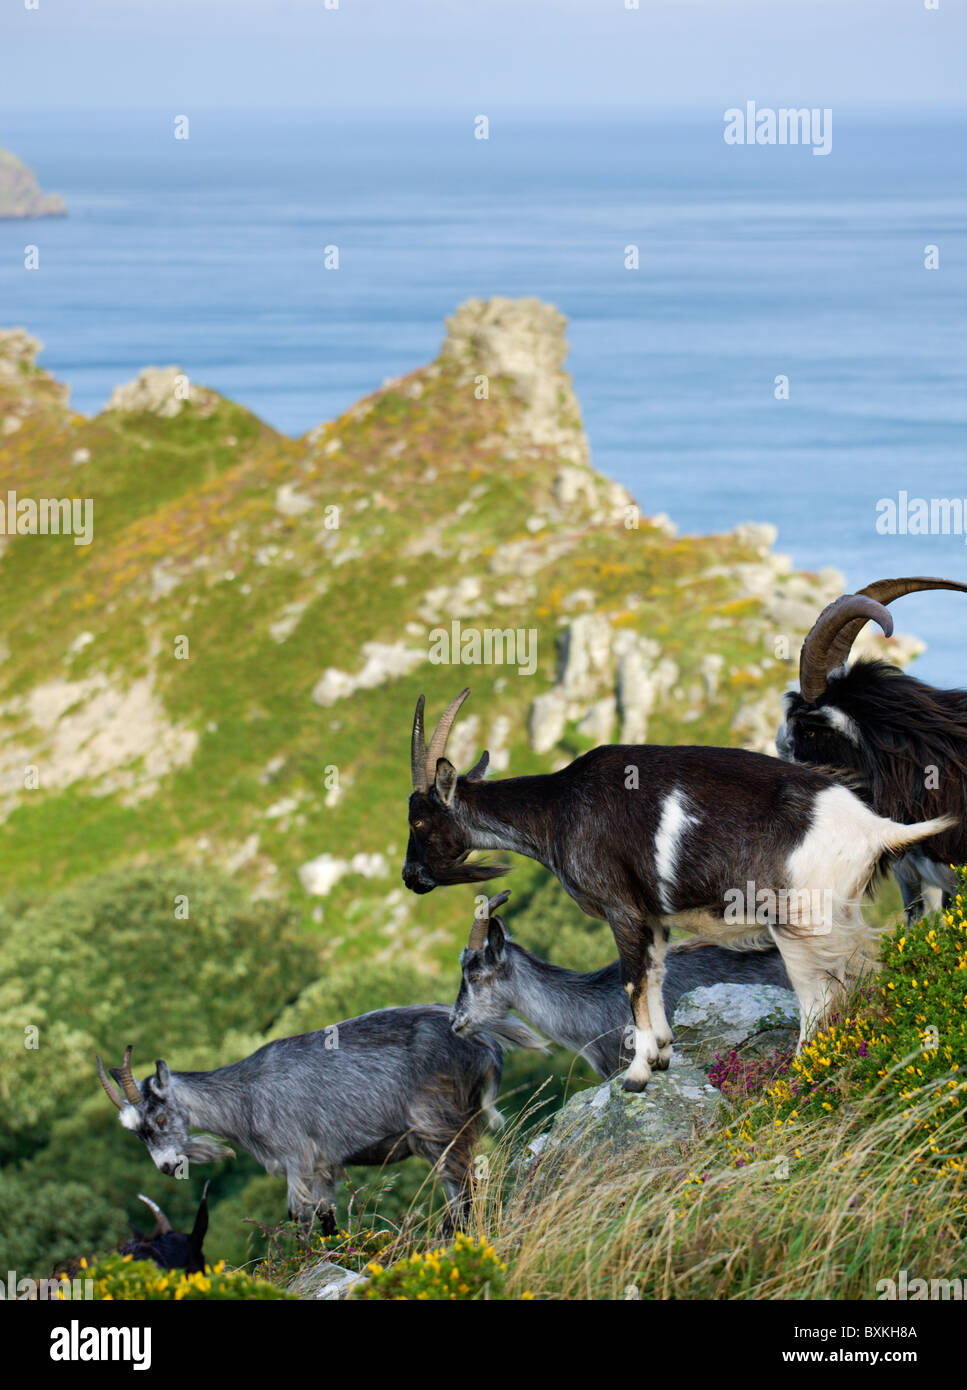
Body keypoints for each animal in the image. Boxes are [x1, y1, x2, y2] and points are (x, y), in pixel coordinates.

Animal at [96, 1007, 529, 1234]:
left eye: (160, 1116)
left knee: (463, 1184)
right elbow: (326, 1216)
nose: (167, 1167)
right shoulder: (323, 1164)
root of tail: (487, 1046)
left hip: (438, 1125)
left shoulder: (297, 1158)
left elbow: (298, 1217)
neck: (246, 1097)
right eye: (136, 1134)